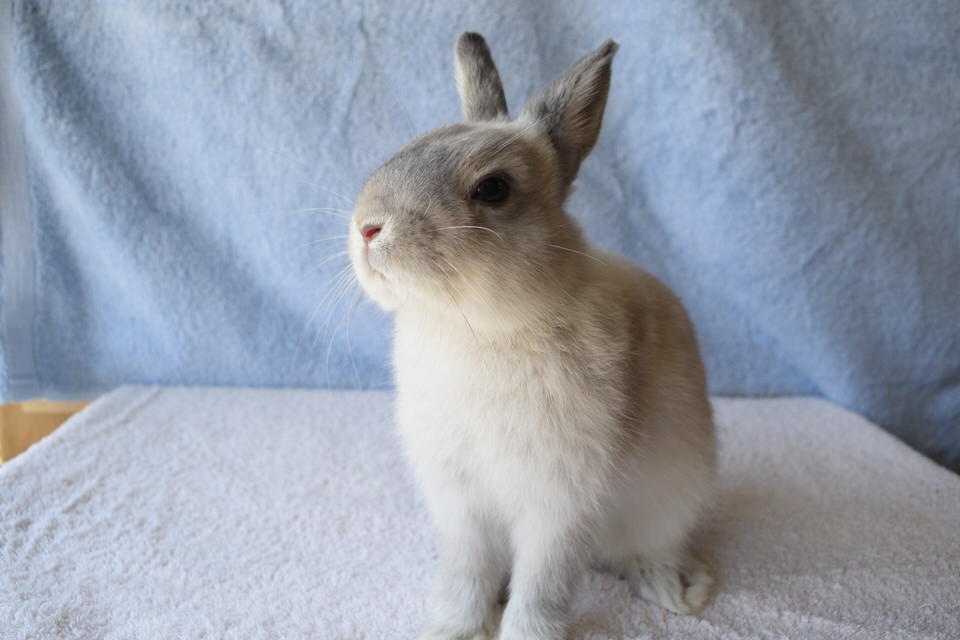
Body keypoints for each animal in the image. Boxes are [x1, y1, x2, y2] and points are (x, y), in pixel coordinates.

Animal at [348, 32, 717, 640]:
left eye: (493, 188)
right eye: (404, 150)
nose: (367, 228)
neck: (478, 327)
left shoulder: (558, 504)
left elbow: (543, 585)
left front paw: (522, 632)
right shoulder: (461, 503)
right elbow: (468, 572)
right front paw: (456, 628)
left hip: (672, 500)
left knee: (651, 549)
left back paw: (676, 591)